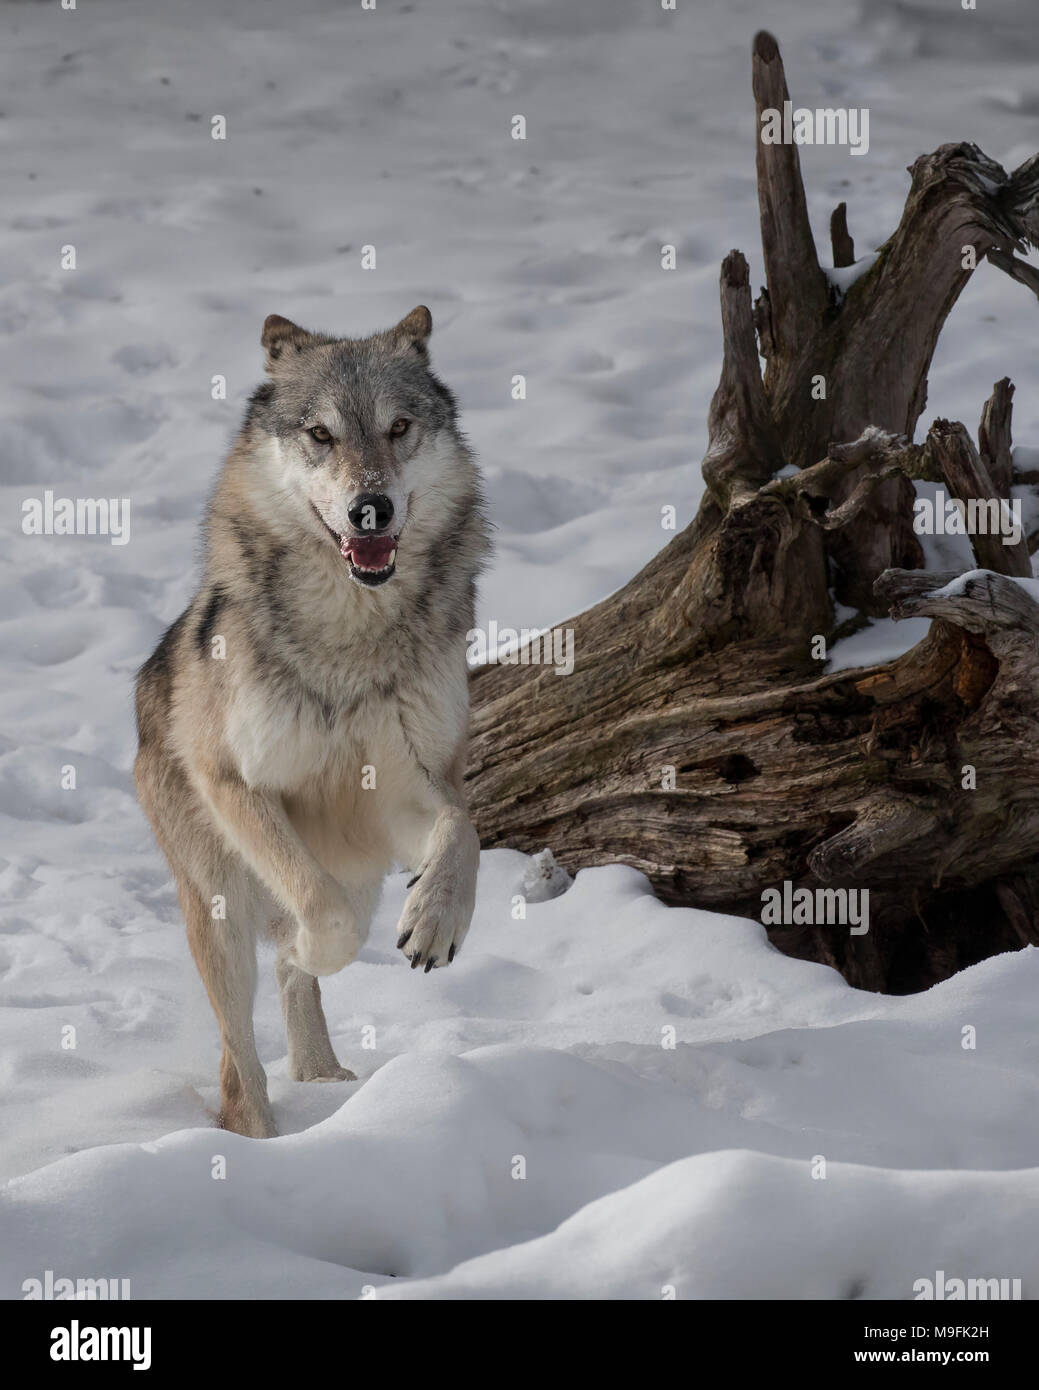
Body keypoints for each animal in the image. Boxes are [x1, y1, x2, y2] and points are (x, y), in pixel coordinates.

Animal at [134, 306, 489, 1138]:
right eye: (321, 434)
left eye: (398, 427)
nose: (371, 509)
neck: (349, 638)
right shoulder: (234, 784)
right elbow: (320, 921)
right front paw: (309, 942)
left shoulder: (409, 788)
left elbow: (464, 830)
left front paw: (436, 922)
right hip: (220, 909)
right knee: (239, 1067)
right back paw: (261, 1137)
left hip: (362, 869)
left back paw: (325, 1077)